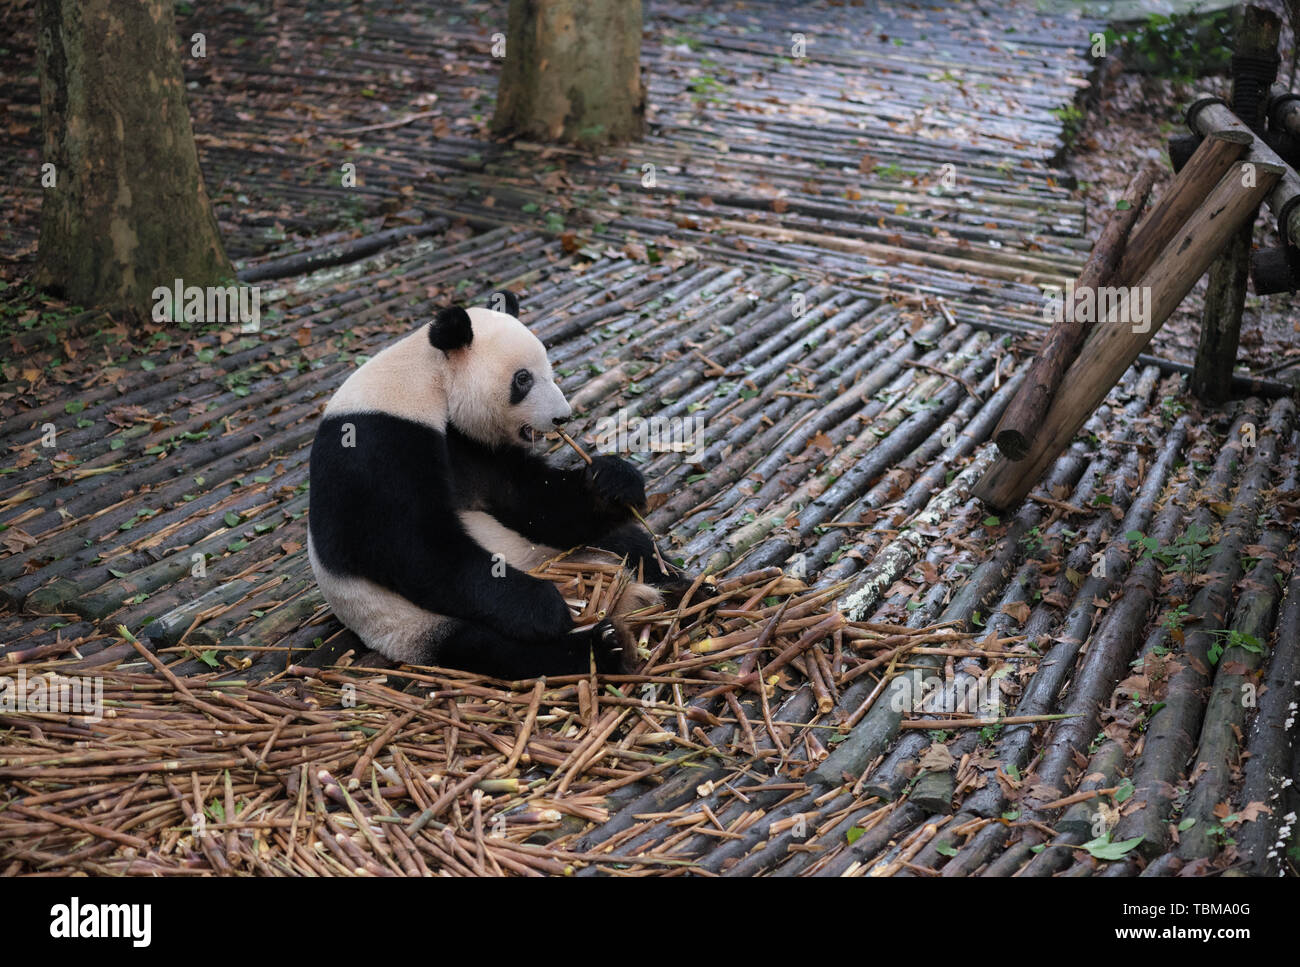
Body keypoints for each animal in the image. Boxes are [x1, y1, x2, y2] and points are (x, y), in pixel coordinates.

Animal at [307, 291, 684, 679]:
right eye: (523, 379)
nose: (562, 417)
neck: (427, 379)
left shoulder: (470, 445)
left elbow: (530, 500)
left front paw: (612, 482)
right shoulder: (375, 442)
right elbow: (413, 546)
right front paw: (545, 606)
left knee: (627, 543)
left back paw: (678, 587)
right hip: (413, 624)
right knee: (501, 650)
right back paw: (608, 646)